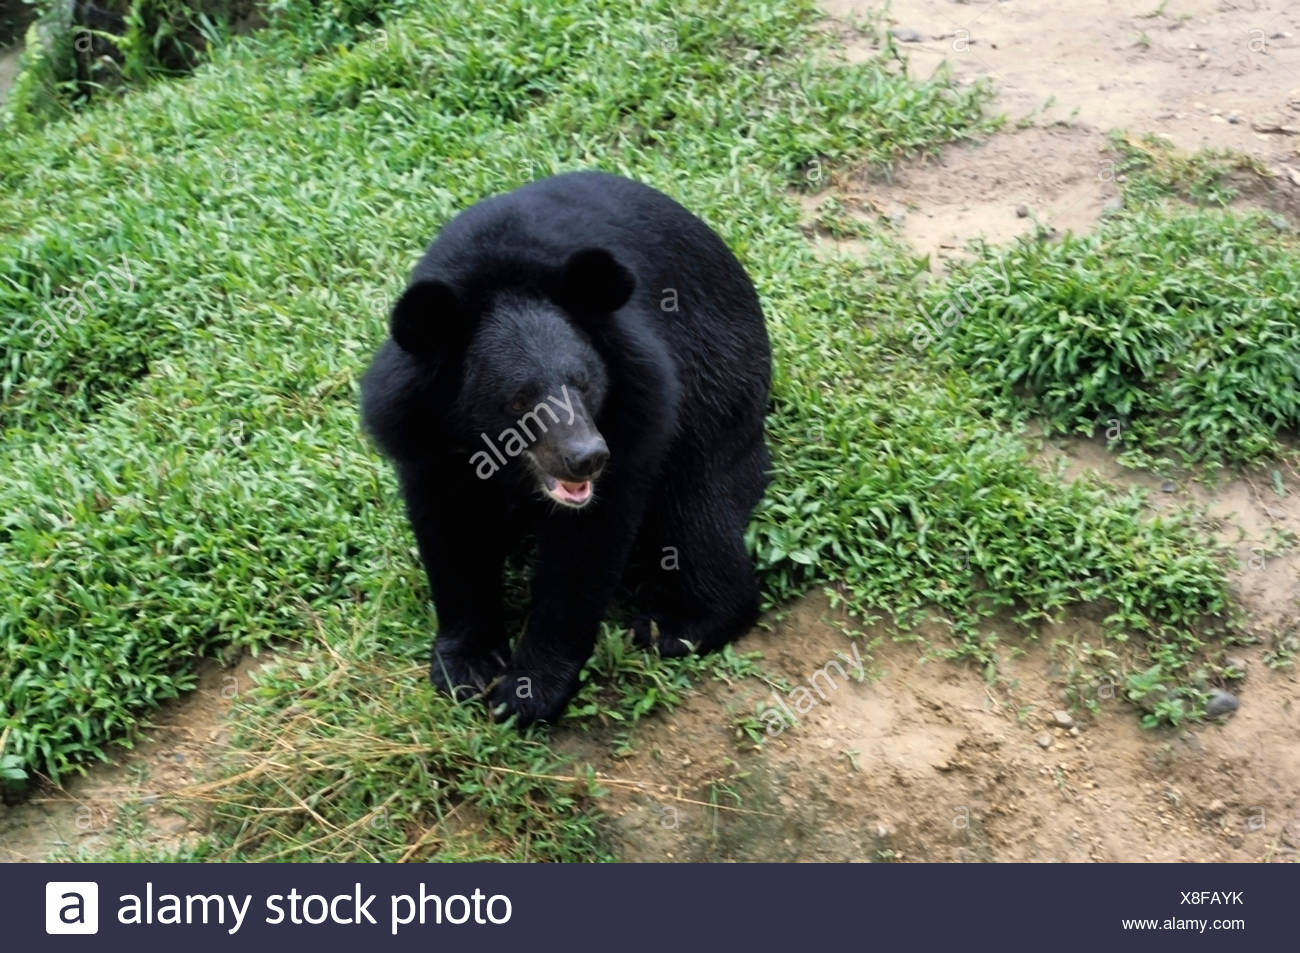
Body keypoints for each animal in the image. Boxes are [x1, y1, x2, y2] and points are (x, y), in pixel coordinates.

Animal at [360, 171, 771, 725]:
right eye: (518, 399)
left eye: (583, 383)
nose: (587, 457)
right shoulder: (421, 433)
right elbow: (451, 535)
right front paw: (466, 668)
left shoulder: (638, 406)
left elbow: (585, 550)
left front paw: (528, 691)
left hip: (719, 384)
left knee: (694, 507)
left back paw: (674, 626)